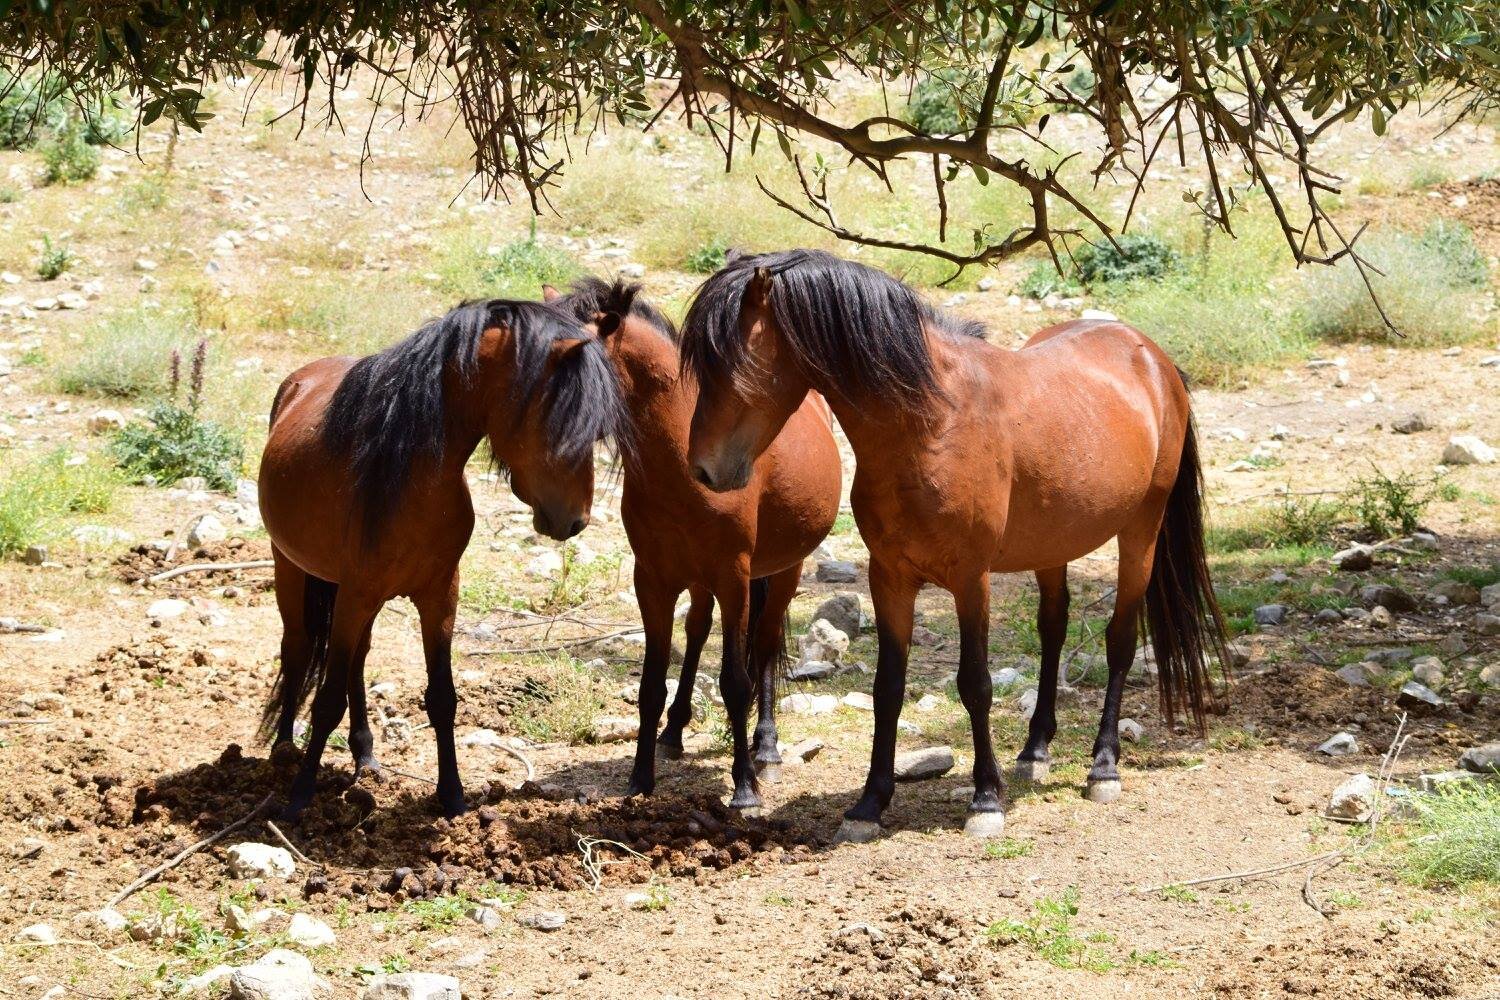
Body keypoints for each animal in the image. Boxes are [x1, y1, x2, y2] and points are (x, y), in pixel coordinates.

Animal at [257, 291, 634, 819]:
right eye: (560, 420)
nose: (574, 520)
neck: (408, 472)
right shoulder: (356, 592)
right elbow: (327, 698)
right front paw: (299, 799)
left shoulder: (438, 595)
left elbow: (442, 697)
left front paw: (452, 796)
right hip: (292, 568)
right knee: (297, 648)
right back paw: (284, 750)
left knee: (356, 662)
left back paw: (365, 755)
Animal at [544, 278, 842, 812]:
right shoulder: (653, 581)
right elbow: (650, 684)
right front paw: (640, 778)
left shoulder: (734, 577)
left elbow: (736, 683)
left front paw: (744, 787)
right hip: (701, 580)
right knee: (699, 630)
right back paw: (674, 733)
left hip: (782, 570)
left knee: (766, 643)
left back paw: (766, 747)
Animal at [678, 249, 1229, 843]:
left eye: (729, 364)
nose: (703, 470)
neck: (931, 424)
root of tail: (1152, 357)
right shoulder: (890, 578)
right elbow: (888, 687)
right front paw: (869, 804)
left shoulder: (970, 579)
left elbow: (975, 684)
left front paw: (985, 801)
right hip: (1054, 546)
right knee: (1053, 629)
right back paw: (1035, 751)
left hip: (1141, 531)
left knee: (1120, 641)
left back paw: (1103, 767)